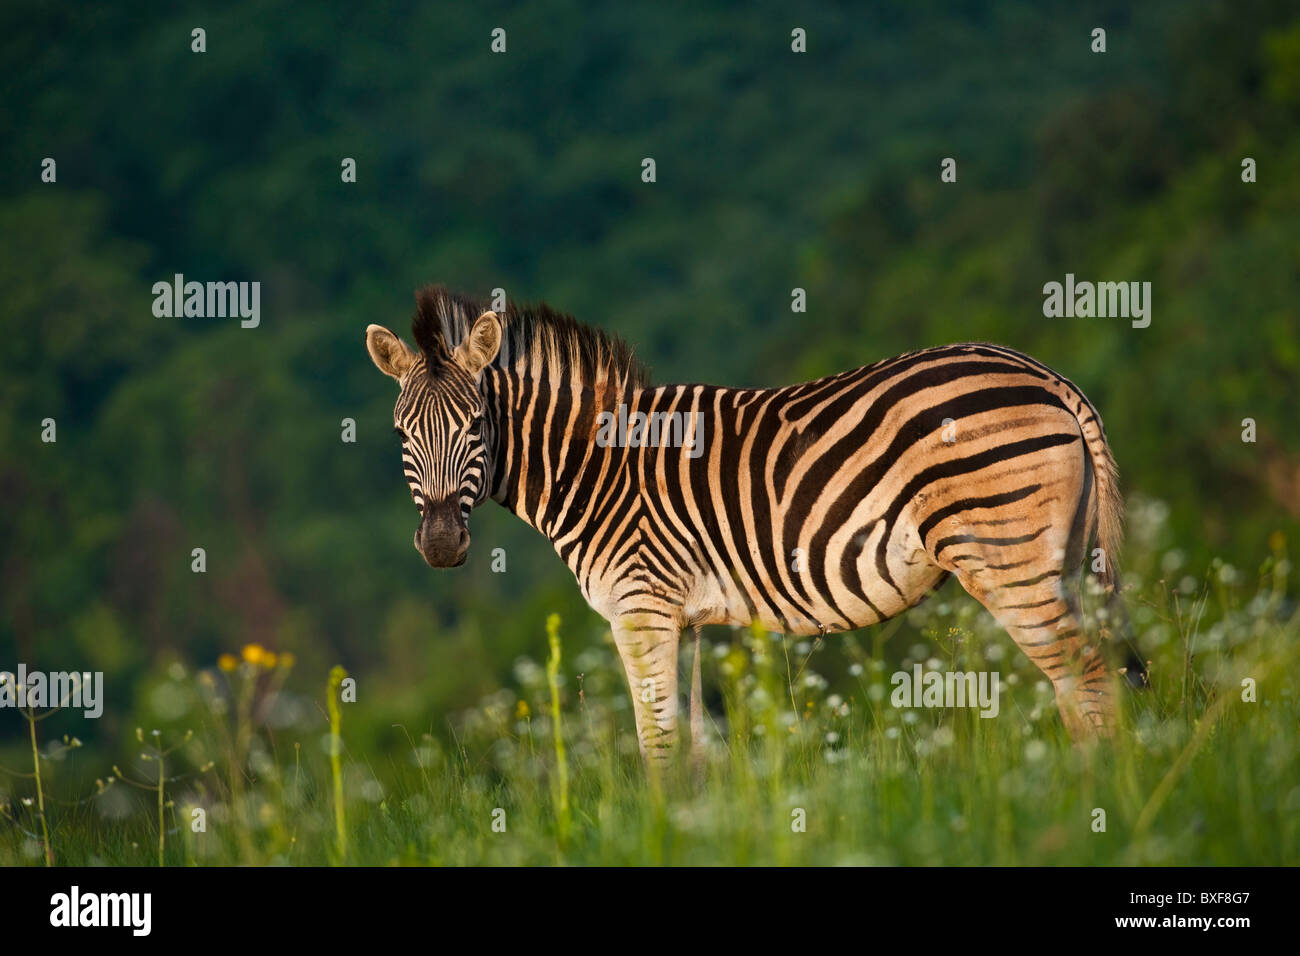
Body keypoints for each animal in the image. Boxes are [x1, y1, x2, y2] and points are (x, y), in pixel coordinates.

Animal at [366, 286, 1145, 765]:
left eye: (475, 426)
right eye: (400, 433)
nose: (441, 546)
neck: (595, 463)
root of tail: (1048, 377)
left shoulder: (641, 607)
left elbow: (657, 745)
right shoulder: (683, 619)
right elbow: (692, 747)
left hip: (1006, 554)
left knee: (1085, 676)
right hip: (1057, 556)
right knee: (1089, 679)